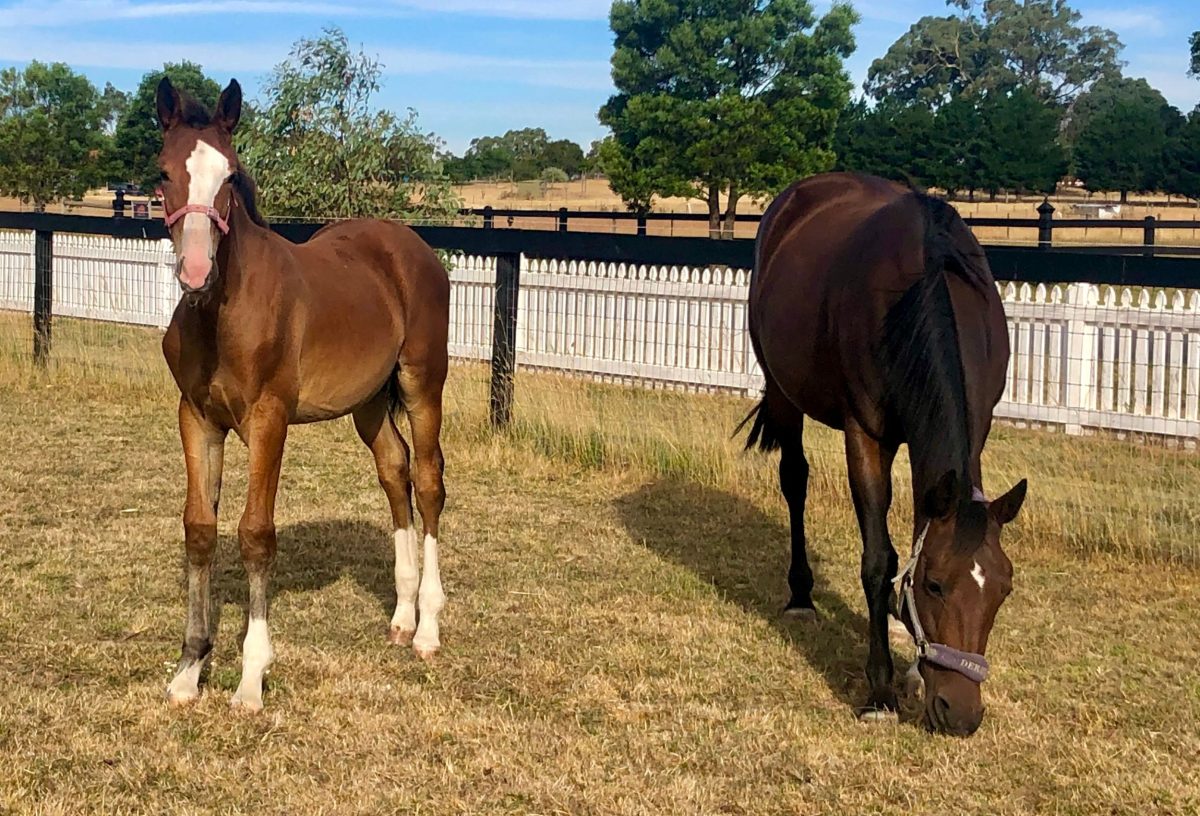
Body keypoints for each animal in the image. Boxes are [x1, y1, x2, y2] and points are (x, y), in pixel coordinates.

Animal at [155, 77, 450, 713]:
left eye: (231, 175)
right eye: (163, 173)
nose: (196, 270)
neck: (220, 312)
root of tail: (409, 245)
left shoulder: (268, 419)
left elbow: (255, 534)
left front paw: (250, 679)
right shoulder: (197, 417)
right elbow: (199, 529)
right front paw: (190, 668)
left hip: (422, 383)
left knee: (429, 481)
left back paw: (428, 628)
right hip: (369, 403)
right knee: (395, 471)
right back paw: (401, 616)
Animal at [743, 172, 1027, 736]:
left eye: (1003, 589)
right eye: (935, 586)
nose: (960, 714)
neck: (919, 291)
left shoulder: (968, 430)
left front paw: (912, 666)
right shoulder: (866, 435)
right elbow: (878, 559)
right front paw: (880, 690)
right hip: (783, 392)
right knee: (794, 480)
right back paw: (801, 595)